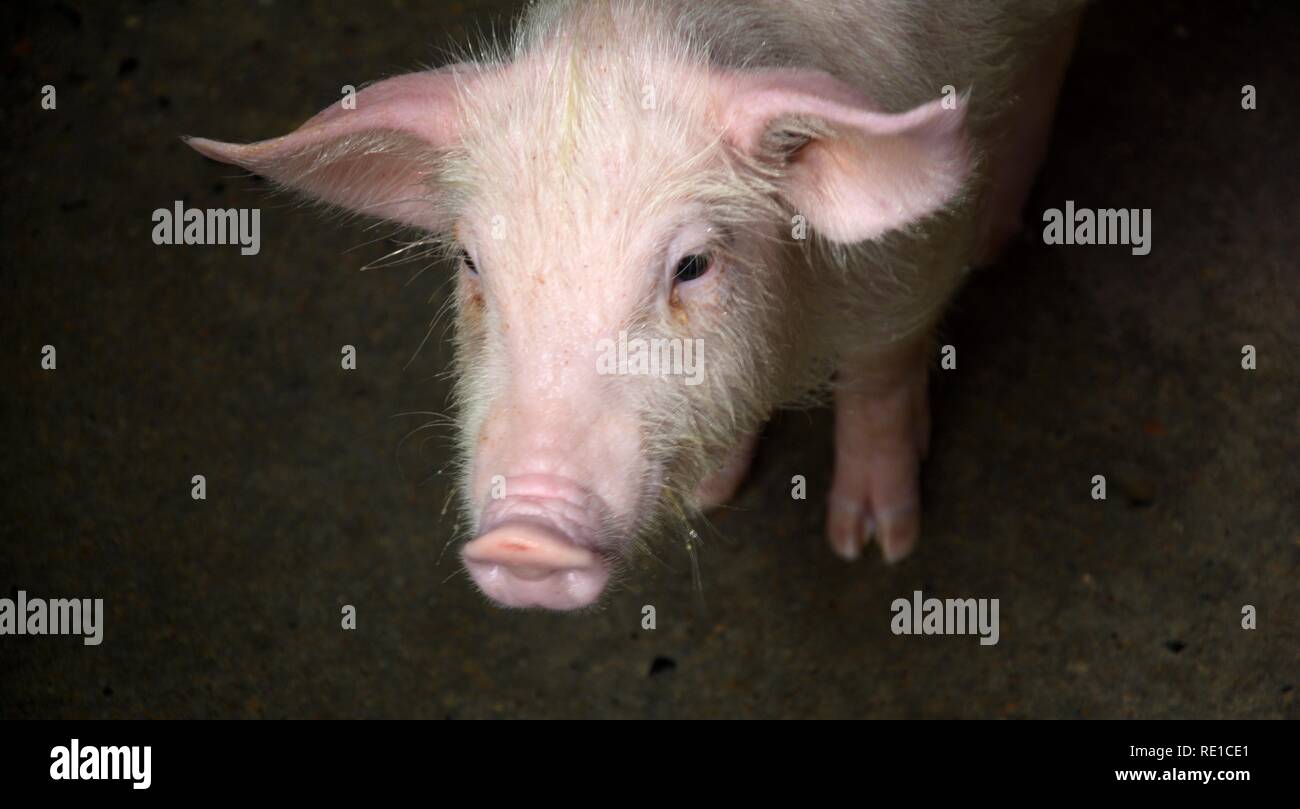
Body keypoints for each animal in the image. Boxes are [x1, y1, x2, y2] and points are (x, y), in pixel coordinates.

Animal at [188, 0, 1083, 609]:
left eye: (692, 264)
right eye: (472, 261)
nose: (526, 536)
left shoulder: (913, 266)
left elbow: (880, 378)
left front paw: (872, 544)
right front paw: (712, 494)